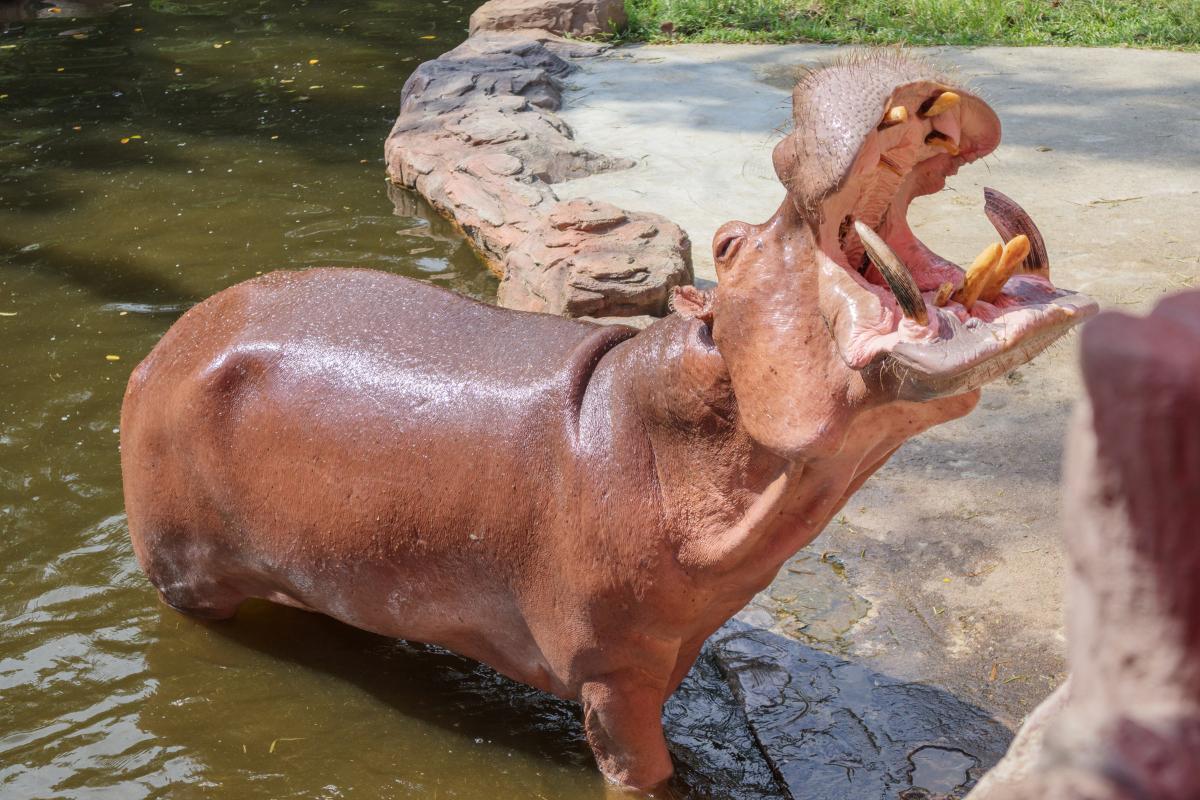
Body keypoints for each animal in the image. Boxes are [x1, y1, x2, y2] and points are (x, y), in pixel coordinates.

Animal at [120, 53, 1096, 791]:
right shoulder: (610, 677)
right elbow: (644, 771)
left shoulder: (669, 643)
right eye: (728, 244)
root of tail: (156, 351)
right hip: (186, 577)